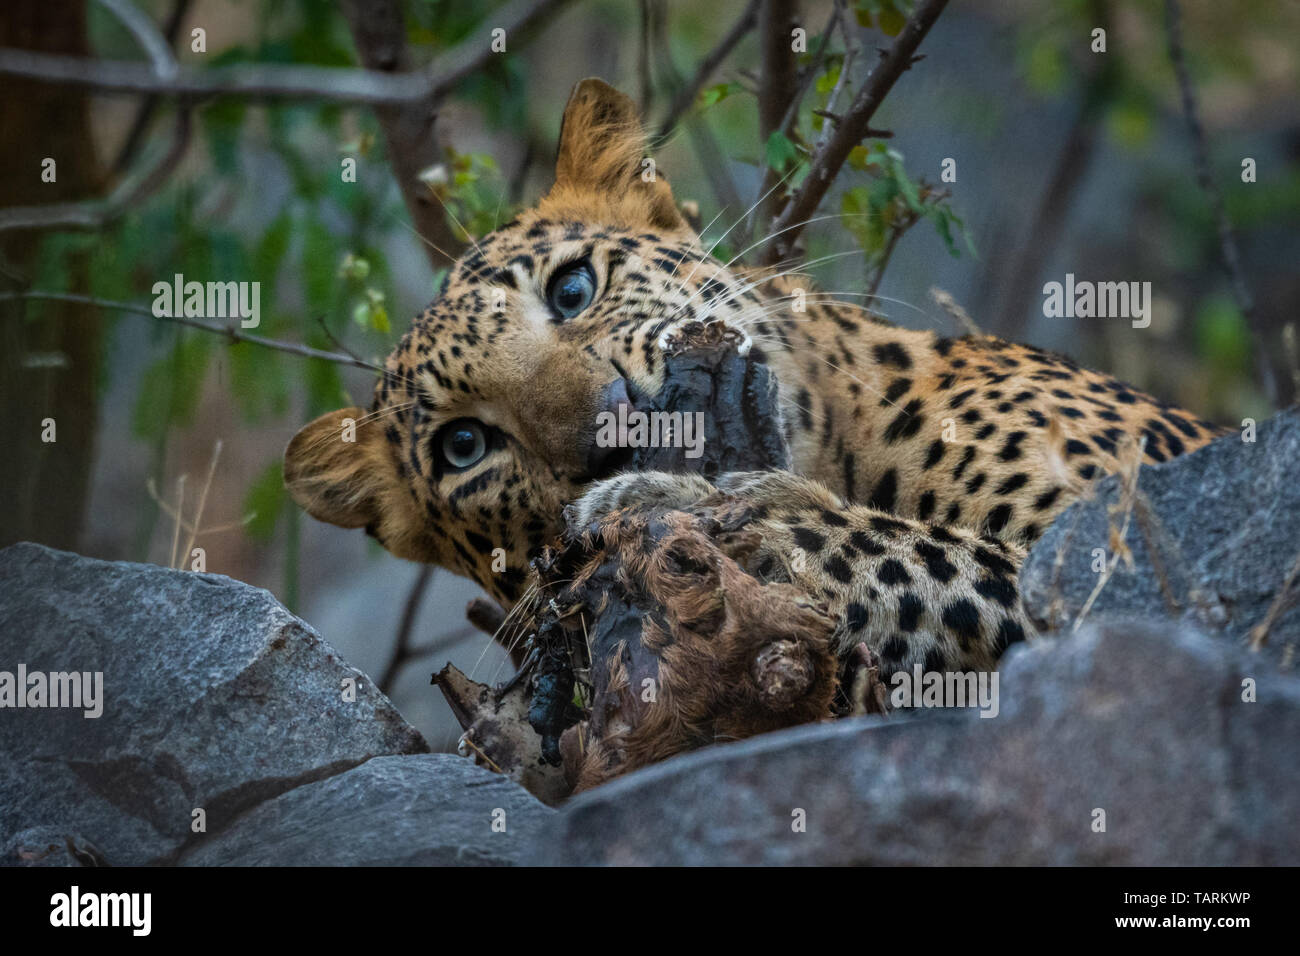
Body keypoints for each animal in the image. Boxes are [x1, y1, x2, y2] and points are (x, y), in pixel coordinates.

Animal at [284, 77, 1226, 677]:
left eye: (573, 289)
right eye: (463, 447)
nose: (612, 427)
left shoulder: (1141, 548)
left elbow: (901, 545)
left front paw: (683, 513)